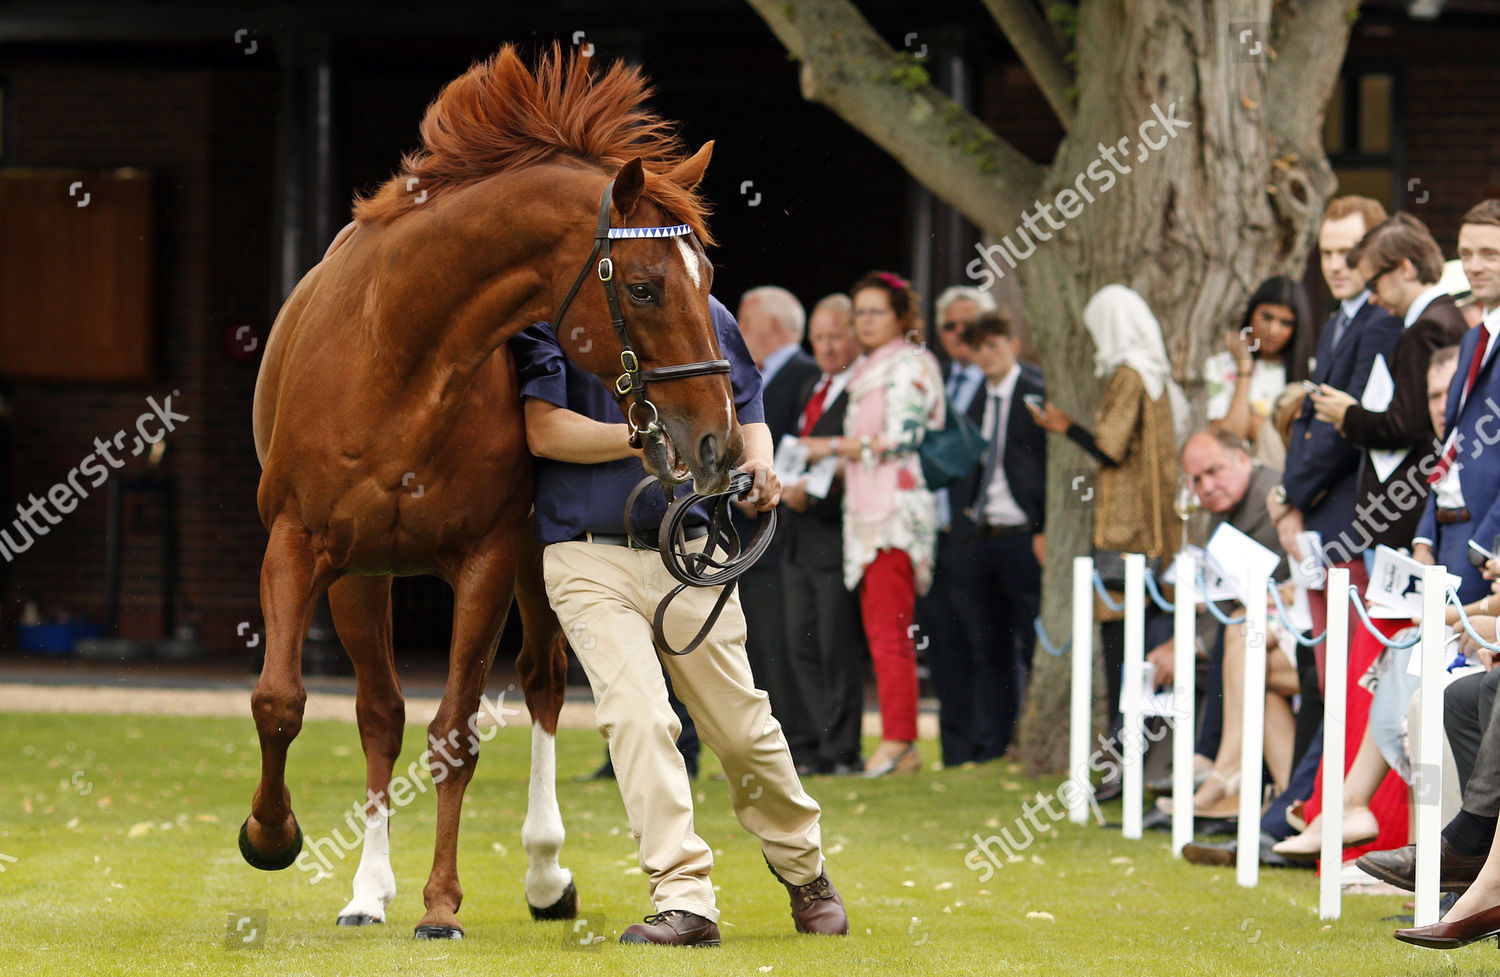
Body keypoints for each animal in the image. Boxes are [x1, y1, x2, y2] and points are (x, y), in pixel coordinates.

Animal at [242, 44, 741, 939]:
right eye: (645, 286)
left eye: (709, 274)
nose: (718, 437)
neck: (398, 354)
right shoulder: (303, 545)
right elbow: (283, 699)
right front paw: (272, 834)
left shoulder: (487, 555)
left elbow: (456, 732)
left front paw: (442, 903)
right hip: (365, 578)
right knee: (379, 712)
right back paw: (367, 890)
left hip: (536, 558)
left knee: (542, 680)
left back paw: (544, 872)